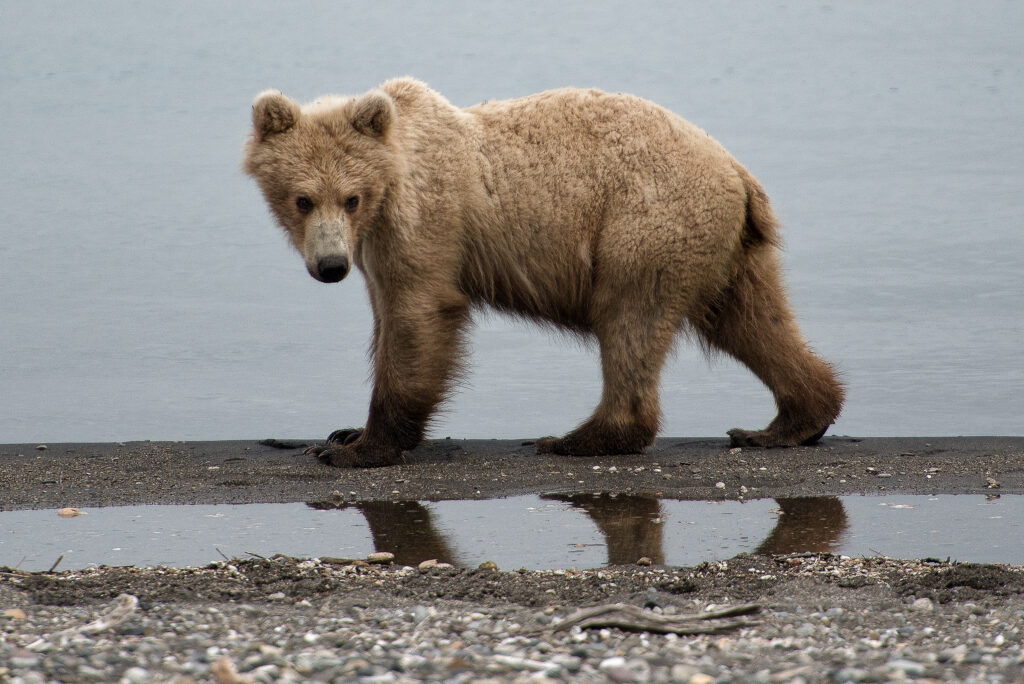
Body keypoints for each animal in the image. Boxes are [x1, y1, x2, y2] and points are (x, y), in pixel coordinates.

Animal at [242, 77, 844, 468]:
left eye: (350, 196)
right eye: (302, 199)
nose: (330, 266)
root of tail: (737, 173)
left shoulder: (427, 224)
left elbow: (419, 316)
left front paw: (356, 447)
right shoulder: (375, 248)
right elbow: (387, 316)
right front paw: (346, 429)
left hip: (645, 224)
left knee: (631, 319)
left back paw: (578, 438)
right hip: (728, 251)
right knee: (752, 321)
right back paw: (787, 422)